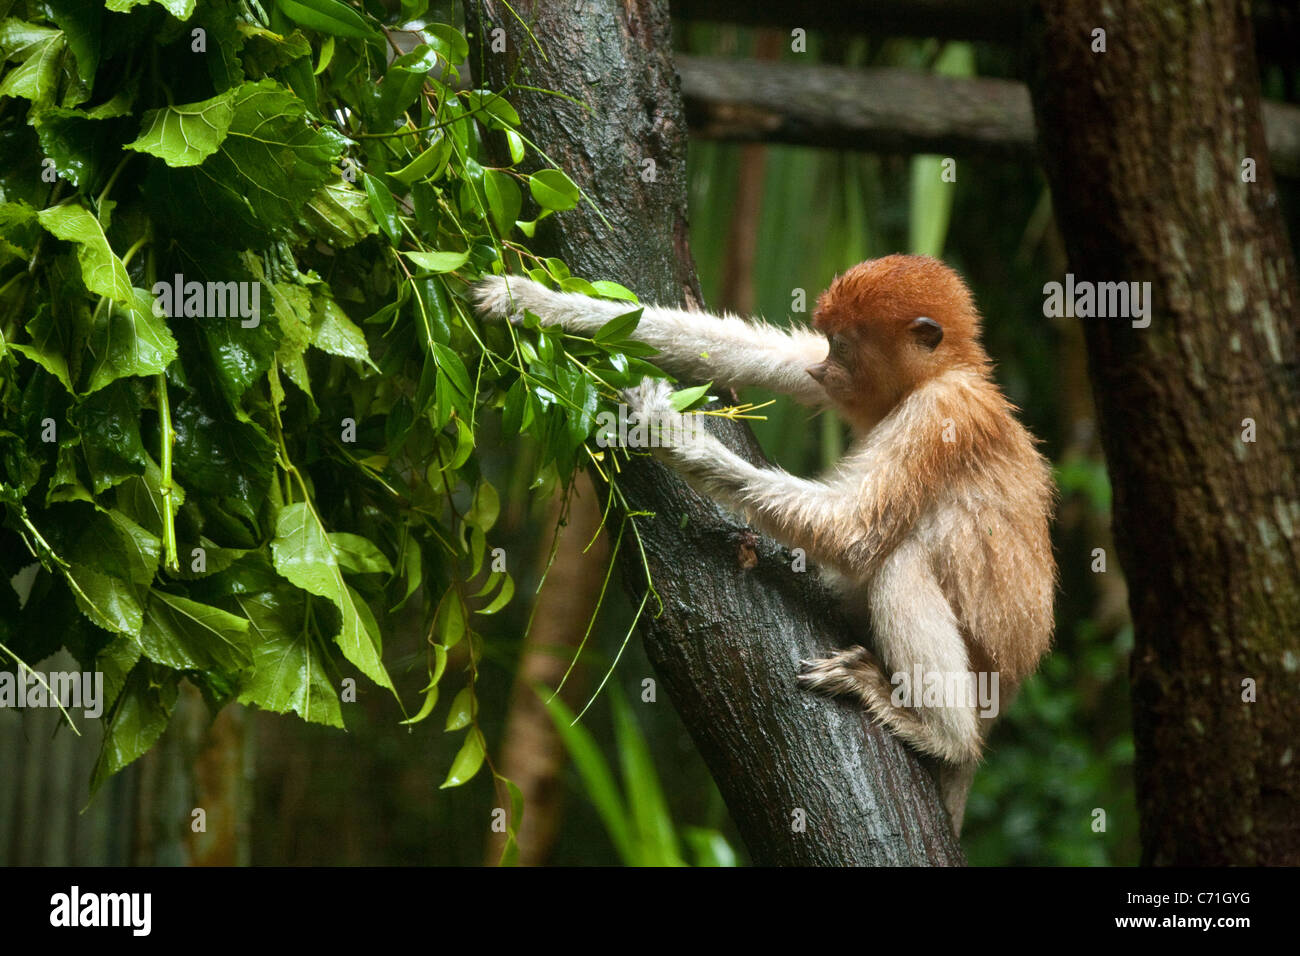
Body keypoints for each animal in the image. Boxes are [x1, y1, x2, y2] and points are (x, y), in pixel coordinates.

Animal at [473, 254, 1056, 833]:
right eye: (827, 344)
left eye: (843, 345)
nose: (823, 368)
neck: (941, 373)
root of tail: (1007, 692)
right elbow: (761, 356)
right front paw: (529, 302)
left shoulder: (939, 414)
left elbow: (854, 532)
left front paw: (664, 432)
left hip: (981, 667)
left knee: (900, 562)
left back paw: (942, 737)